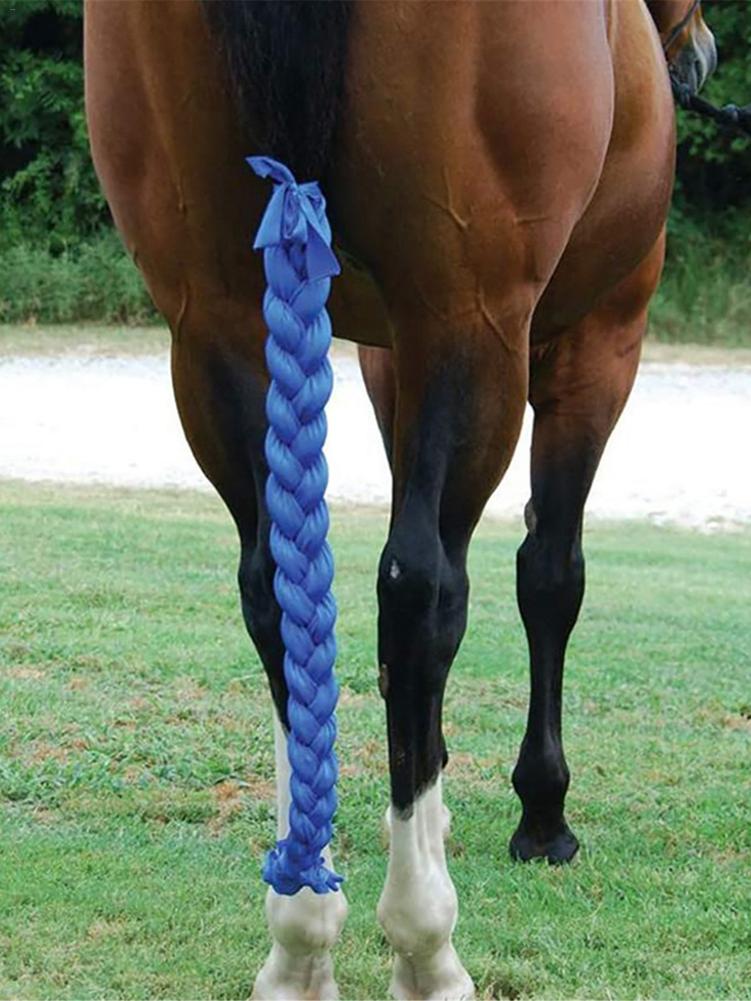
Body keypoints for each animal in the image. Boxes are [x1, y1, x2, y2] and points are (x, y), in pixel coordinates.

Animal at [83, 1, 716, 997]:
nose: (695, 56)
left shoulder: (381, 355)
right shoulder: (600, 338)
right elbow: (549, 575)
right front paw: (542, 811)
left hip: (212, 323)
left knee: (276, 591)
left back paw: (301, 932)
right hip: (470, 318)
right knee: (422, 592)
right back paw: (424, 940)